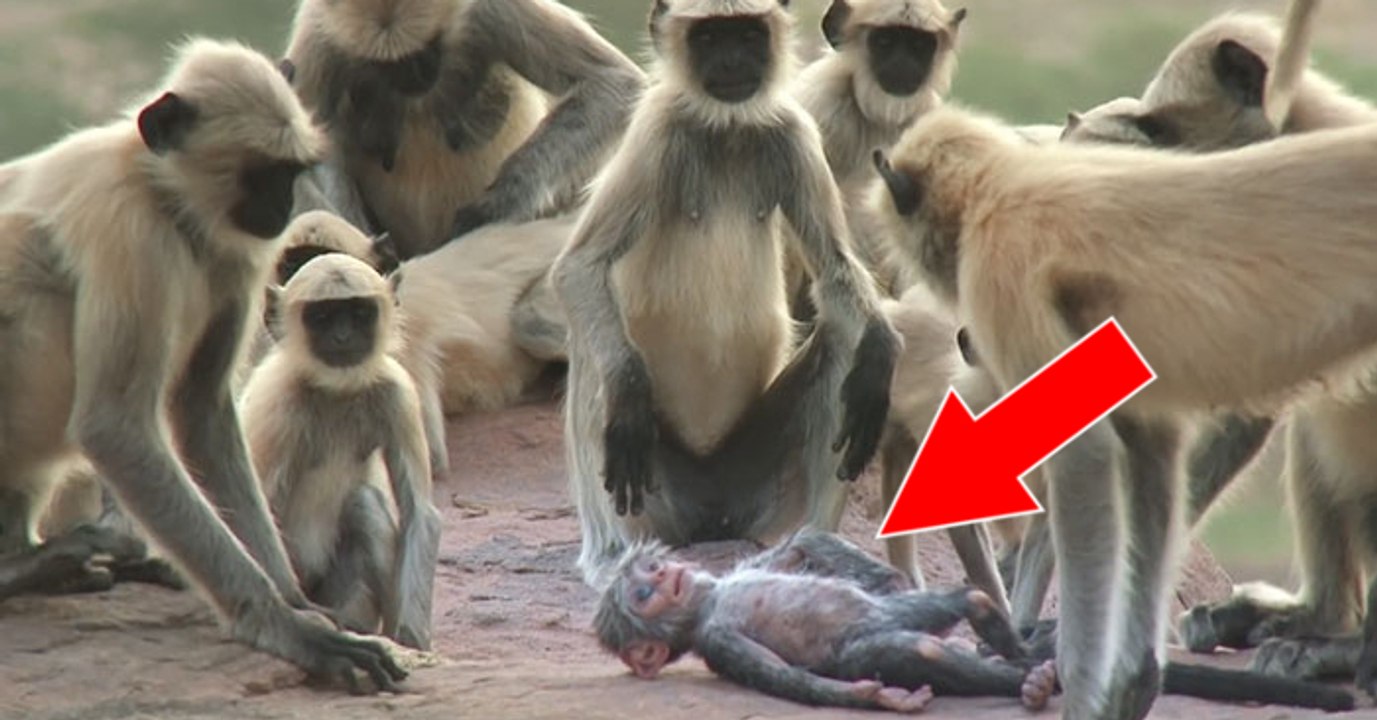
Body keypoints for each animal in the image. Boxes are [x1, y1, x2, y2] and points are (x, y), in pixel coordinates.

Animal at [0, 38, 406, 691]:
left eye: (292, 174)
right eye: (262, 174)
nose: (283, 205)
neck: (165, 200)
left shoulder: (236, 254)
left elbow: (201, 409)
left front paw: (294, 602)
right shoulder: (130, 230)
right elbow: (115, 428)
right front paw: (286, 627)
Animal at [242, 254, 442, 650]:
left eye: (359, 312)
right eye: (321, 317)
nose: (343, 336)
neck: (336, 391)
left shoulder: (396, 391)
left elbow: (420, 514)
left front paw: (411, 641)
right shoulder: (281, 408)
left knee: (365, 503)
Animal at [284, 0, 645, 258]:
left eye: (429, 48)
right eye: (386, 65)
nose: (414, 77)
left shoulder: (492, 8)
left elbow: (611, 83)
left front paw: (491, 209)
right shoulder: (318, 31)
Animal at [553, 0, 901, 587]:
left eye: (747, 34)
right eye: (711, 37)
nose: (734, 62)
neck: (727, 130)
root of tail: (710, 518)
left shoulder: (794, 133)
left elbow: (833, 272)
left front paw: (883, 349)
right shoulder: (656, 130)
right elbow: (579, 269)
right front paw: (627, 384)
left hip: (752, 489)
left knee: (841, 341)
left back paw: (819, 543)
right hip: (657, 493)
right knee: (600, 356)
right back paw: (611, 555)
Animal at [594, 535, 1059, 712]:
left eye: (652, 569)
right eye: (642, 595)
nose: (662, 574)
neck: (708, 600)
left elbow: (797, 547)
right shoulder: (720, 639)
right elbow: (782, 675)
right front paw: (877, 697)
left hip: (897, 612)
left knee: (962, 604)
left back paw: (1025, 654)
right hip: (863, 646)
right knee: (918, 648)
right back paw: (1035, 679)